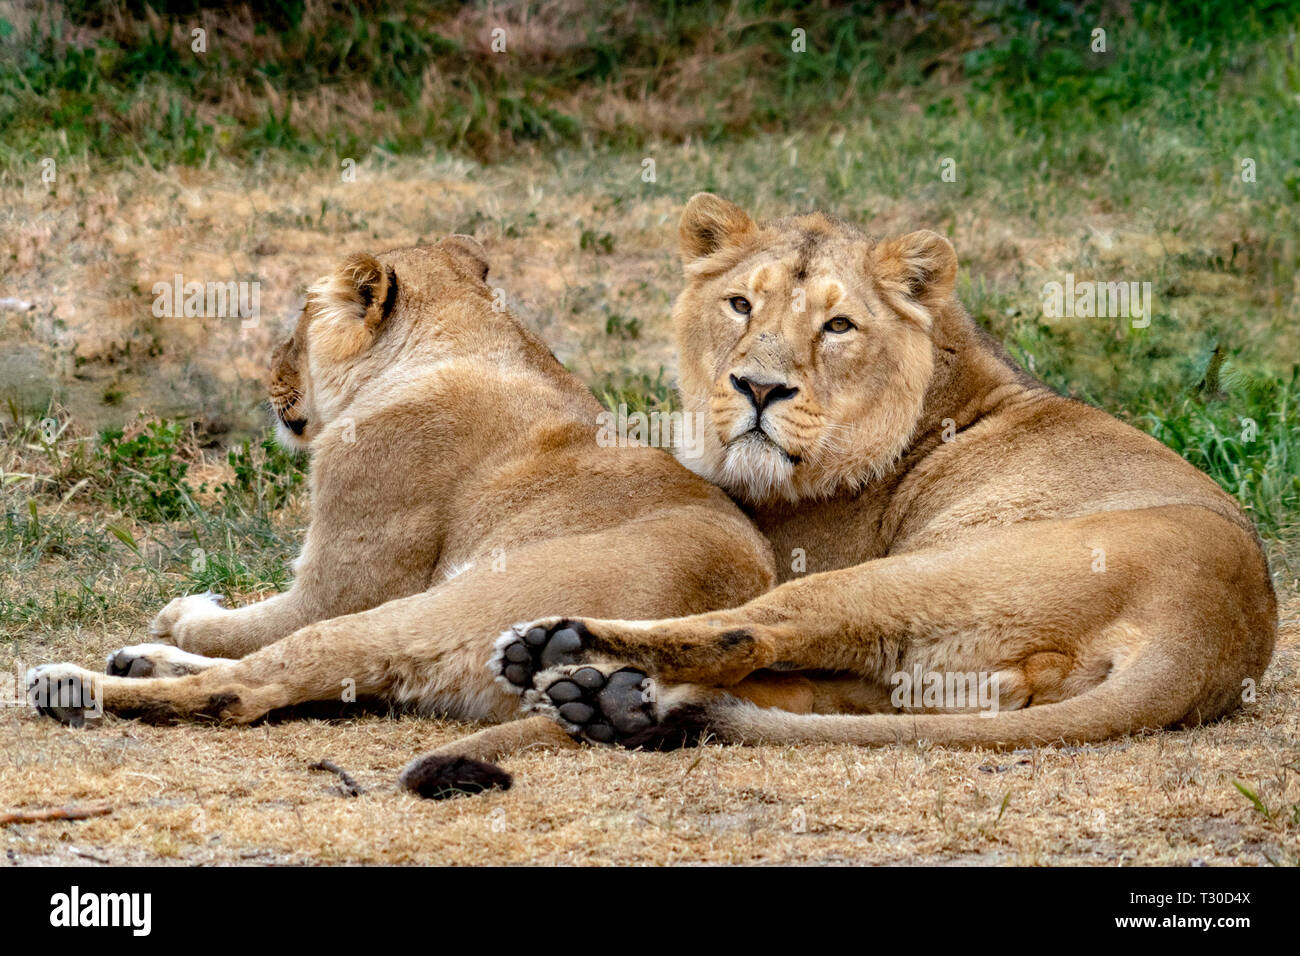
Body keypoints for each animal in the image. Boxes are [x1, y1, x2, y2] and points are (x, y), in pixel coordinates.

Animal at [26, 235, 780, 795]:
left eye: (299, 320)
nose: (268, 374)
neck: (466, 336)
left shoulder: (336, 588)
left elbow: (239, 630)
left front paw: (184, 612)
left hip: (431, 611)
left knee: (245, 690)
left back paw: (69, 685)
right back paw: (133, 663)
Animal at [493, 193, 1278, 752]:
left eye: (838, 326)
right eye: (740, 304)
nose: (758, 389)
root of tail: (1214, 633)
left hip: (911, 574)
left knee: (750, 635)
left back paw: (564, 651)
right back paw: (616, 705)